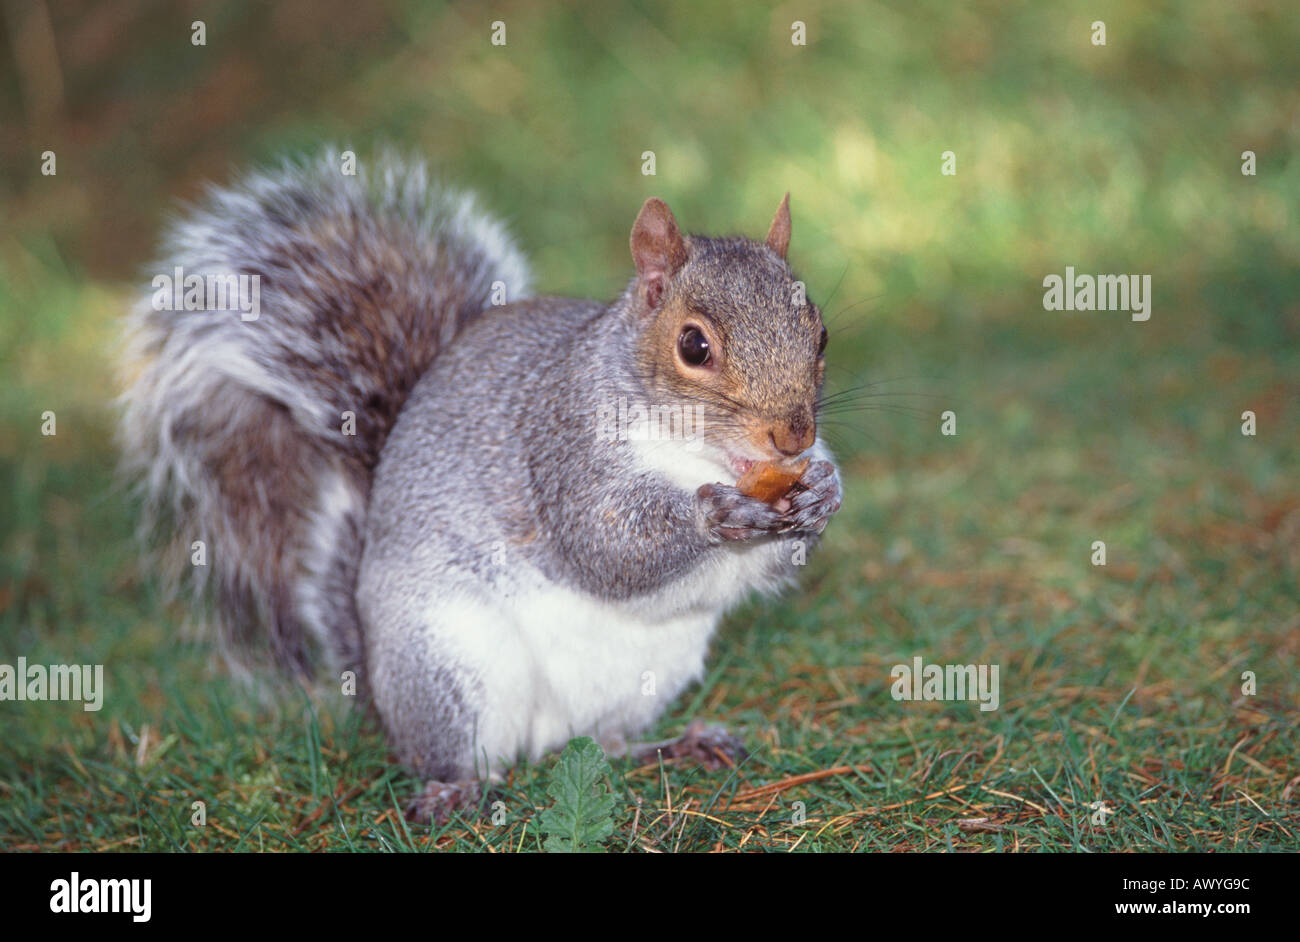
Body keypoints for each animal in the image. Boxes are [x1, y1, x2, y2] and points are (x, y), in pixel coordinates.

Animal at [118, 151, 843, 818]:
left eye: (821, 333)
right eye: (693, 346)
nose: (793, 438)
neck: (703, 455)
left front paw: (823, 493)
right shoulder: (562, 449)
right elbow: (606, 545)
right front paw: (714, 513)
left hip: (647, 676)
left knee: (603, 747)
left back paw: (674, 745)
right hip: (447, 662)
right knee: (457, 753)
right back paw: (457, 790)